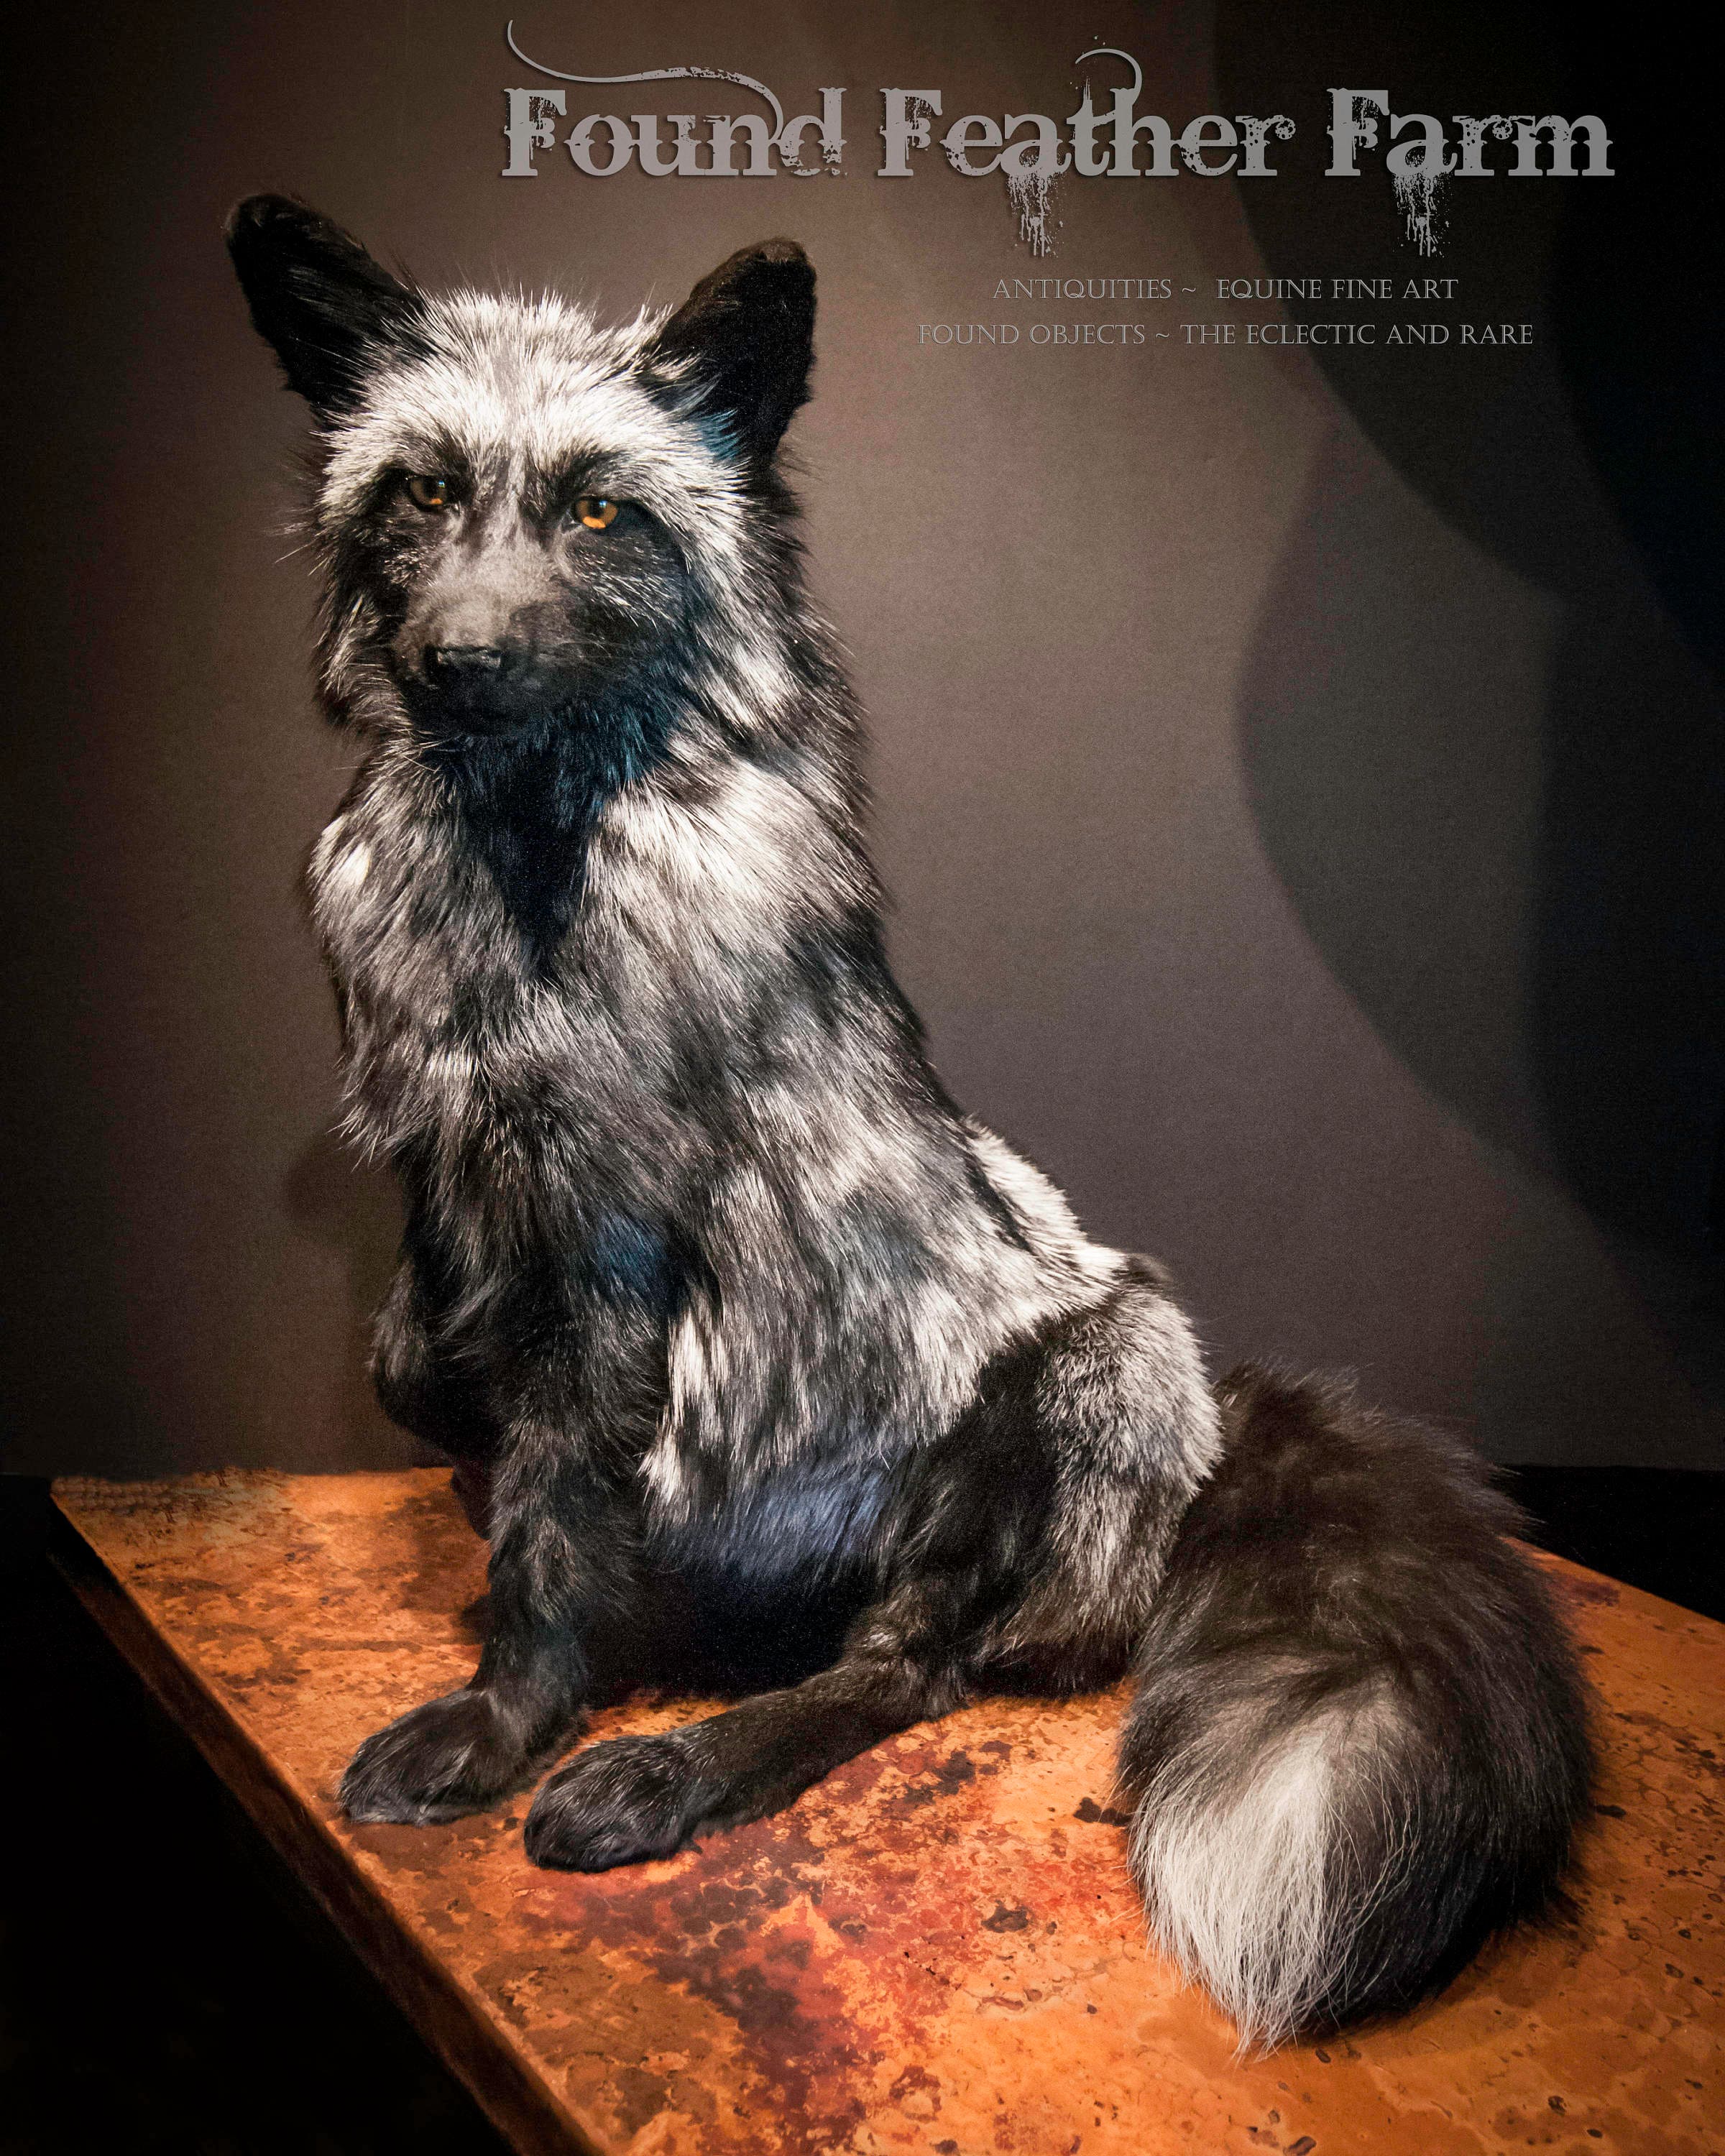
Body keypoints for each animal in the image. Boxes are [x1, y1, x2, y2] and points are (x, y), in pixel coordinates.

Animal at [226, 194, 1593, 2049]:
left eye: (598, 509)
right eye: (424, 494)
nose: (462, 661)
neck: (523, 894)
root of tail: (1208, 1434)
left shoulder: (618, 1235)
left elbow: (555, 1522)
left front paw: (514, 1716)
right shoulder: (450, 1182)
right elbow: (426, 1378)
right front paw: (487, 1495)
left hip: (1069, 1382)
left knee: (903, 1669)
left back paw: (674, 1766)